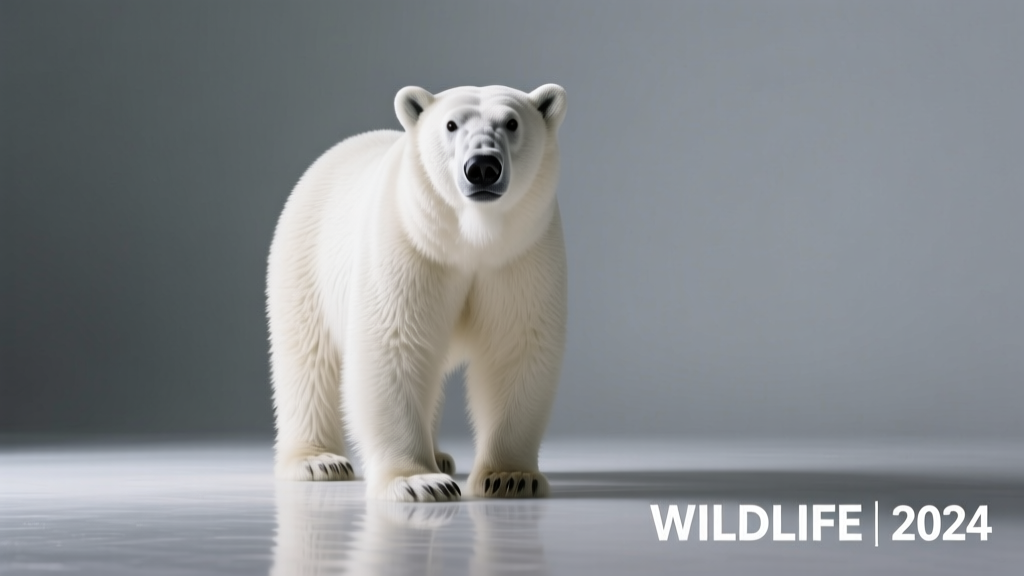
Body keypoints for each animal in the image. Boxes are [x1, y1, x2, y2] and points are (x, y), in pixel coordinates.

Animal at [266, 84, 568, 501]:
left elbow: (516, 348)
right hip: (304, 260)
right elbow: (395, 346)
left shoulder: (520, 257)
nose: (482, 166)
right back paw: (318, 460)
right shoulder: (411, 246)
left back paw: (440, 455)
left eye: (512, 123)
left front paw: (509, 477)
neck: (471, 240)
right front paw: (418, 481)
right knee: (308, 358)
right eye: (451, 124)